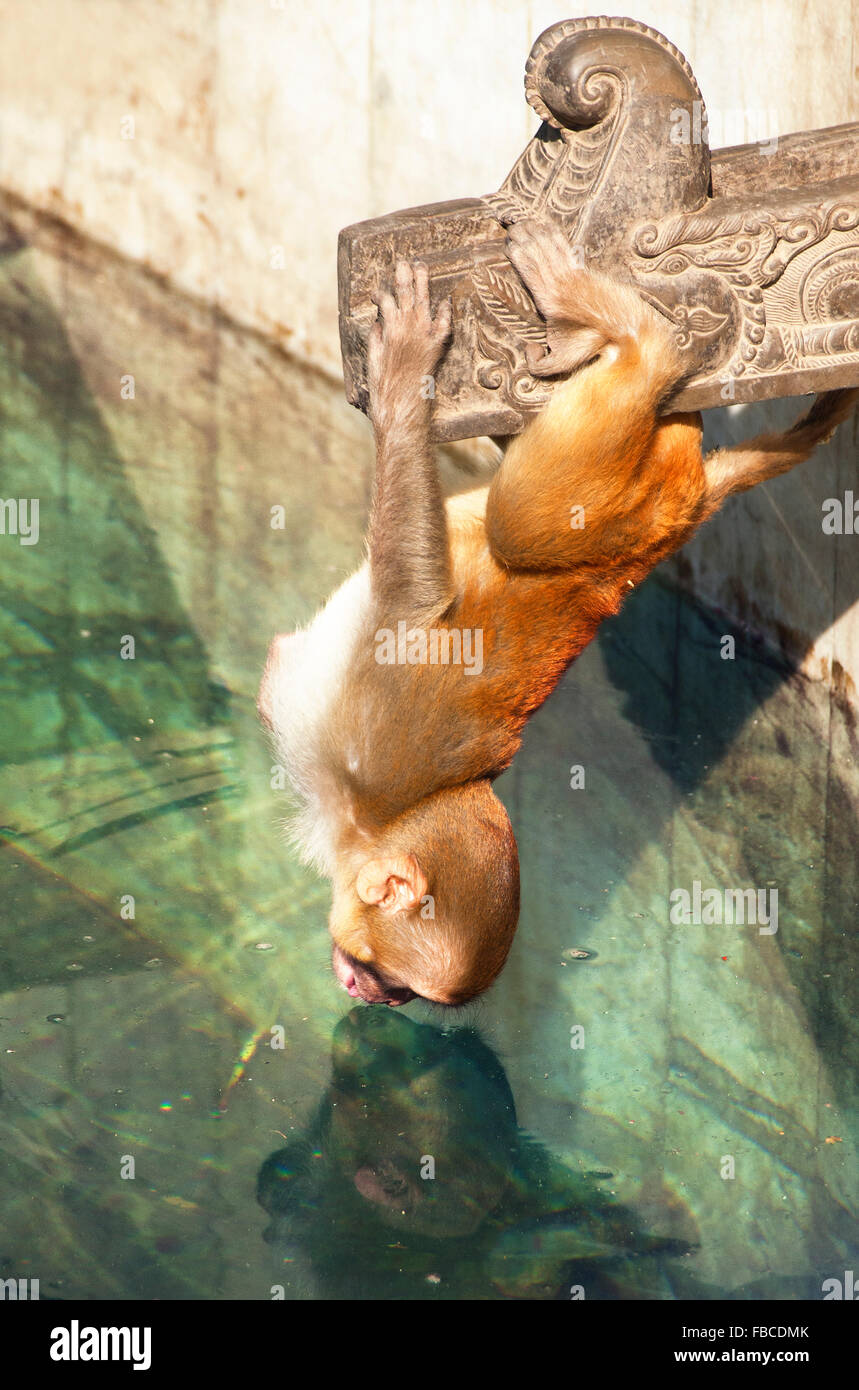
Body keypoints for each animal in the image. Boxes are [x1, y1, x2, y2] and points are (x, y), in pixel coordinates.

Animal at [258, 218, 858, 1009]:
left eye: (397, 988)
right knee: (520, 519)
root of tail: (679, 509)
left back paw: (622, 338)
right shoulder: (383, 744)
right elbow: (414, 596)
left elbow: (410, 594)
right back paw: (634, 337)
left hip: (619, 506)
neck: (389, 817)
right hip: (599, 509)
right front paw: (403, 381)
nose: (366, 995)